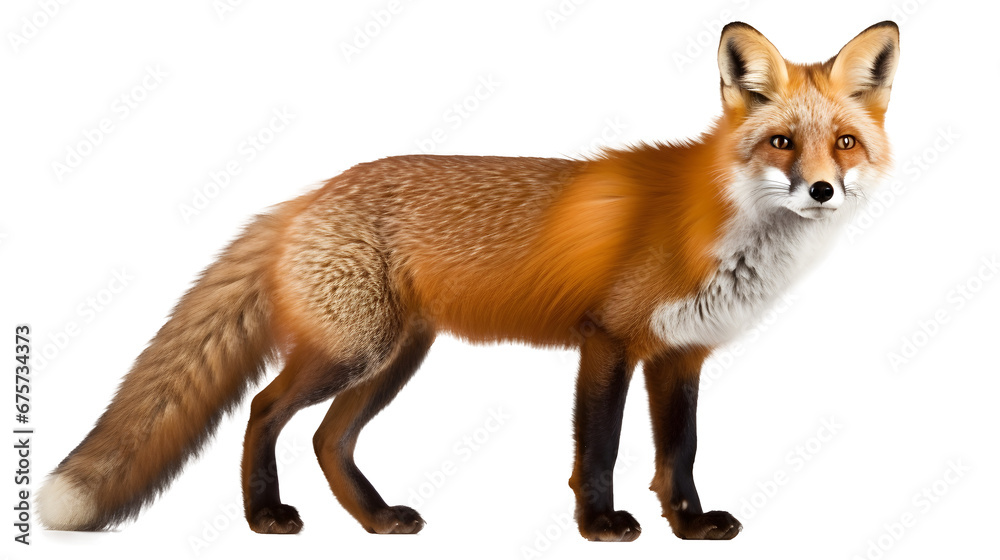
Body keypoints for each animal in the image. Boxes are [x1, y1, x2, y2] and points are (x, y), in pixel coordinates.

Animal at [37, 21, 898, 541]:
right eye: (782, 142)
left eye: (844, 143)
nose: (822, 190)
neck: (720, 224)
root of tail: (306, 195)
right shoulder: (608, 342)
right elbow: (601, 449)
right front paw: (600, 526)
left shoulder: (681, 354)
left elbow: (678, 455)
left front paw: (686, 528)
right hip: (353, 353)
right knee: (262, 412)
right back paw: (264, 515)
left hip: (395, 360)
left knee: (326, 438)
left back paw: (376, 520)